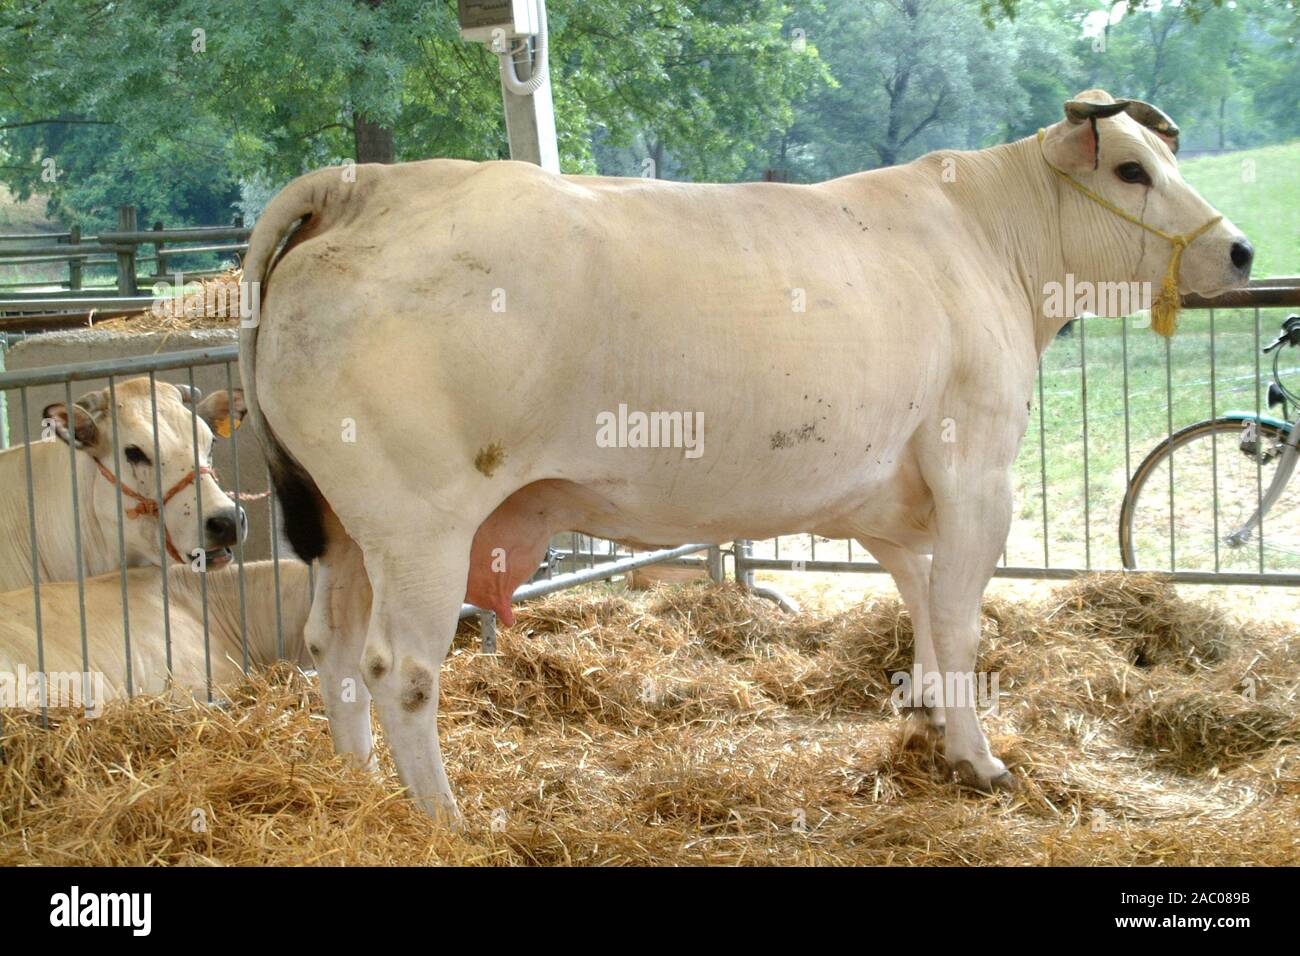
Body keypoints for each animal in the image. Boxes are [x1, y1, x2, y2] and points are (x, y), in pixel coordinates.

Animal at [238, 90, 1252, 821]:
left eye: (1167, 159)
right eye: (1130, 169)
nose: (1241, 251)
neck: (986, 238)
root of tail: (366, 183)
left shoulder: (895, 498)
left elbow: (923, 603)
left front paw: (927, 717)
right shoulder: (978, 471)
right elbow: (962, 619)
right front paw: (978, 757)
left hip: (342, 523)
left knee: (330, 646)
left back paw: (359, 791)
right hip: (420, 521)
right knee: (398, 669)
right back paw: (445, 820)